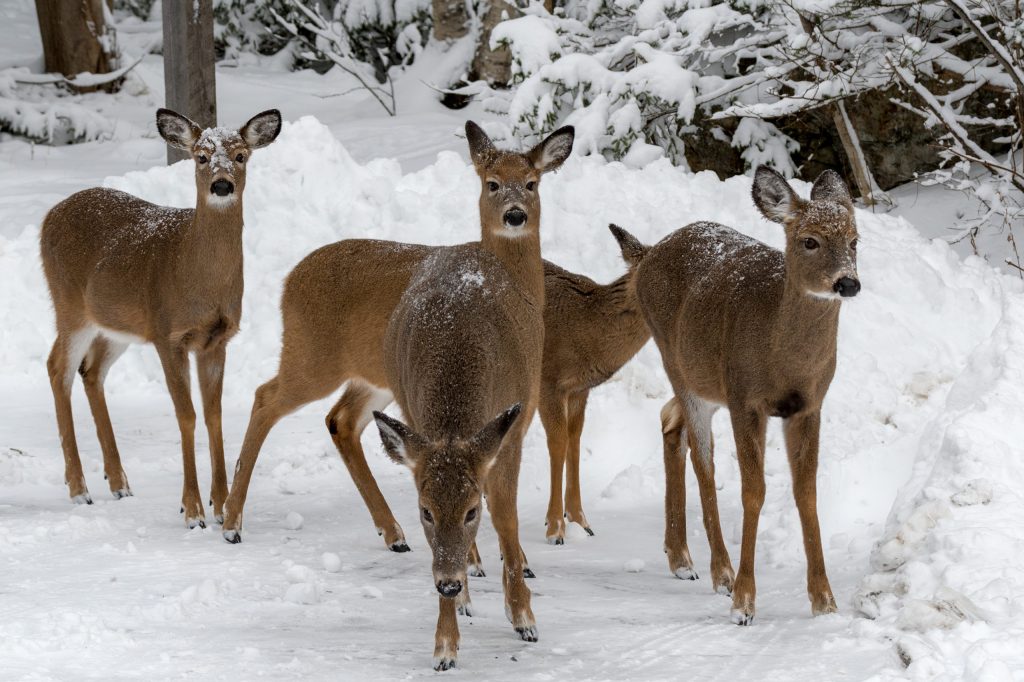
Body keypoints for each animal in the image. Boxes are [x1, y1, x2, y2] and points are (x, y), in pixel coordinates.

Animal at [39, 107, 282, 529]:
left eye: (240, 156)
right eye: (201, 156)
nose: (221, 185)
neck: (196, 278)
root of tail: (49, 216)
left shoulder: (216, 339)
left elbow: (214, 414)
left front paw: (220, 505)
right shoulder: (169, 335)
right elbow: (186, 415)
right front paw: (193, 510)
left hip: (117, 324)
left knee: (92, 371)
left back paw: (118, 481)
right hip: (70, 305)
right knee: (59, 367)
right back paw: (79, 488)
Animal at [370, 120, 574, 670]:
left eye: (533, 182)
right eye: (424, 510)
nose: (515, 214)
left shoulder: (511, 429)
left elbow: (505, 516)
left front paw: (523, 616)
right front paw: (444, 645)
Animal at [632, 165, 860, 625]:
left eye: (855, 240)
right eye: (809, 240)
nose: (848, 282)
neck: (783, 357)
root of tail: (648, 253)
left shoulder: (809, 405)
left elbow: (806, 492)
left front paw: (825, 600)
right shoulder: (746, 399)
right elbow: (753, 491)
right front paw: (744, 602)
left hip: (702, 380)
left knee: (668, 420)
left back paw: (679, 556)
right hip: (678, 364)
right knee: (703, 462)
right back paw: (720, 572)